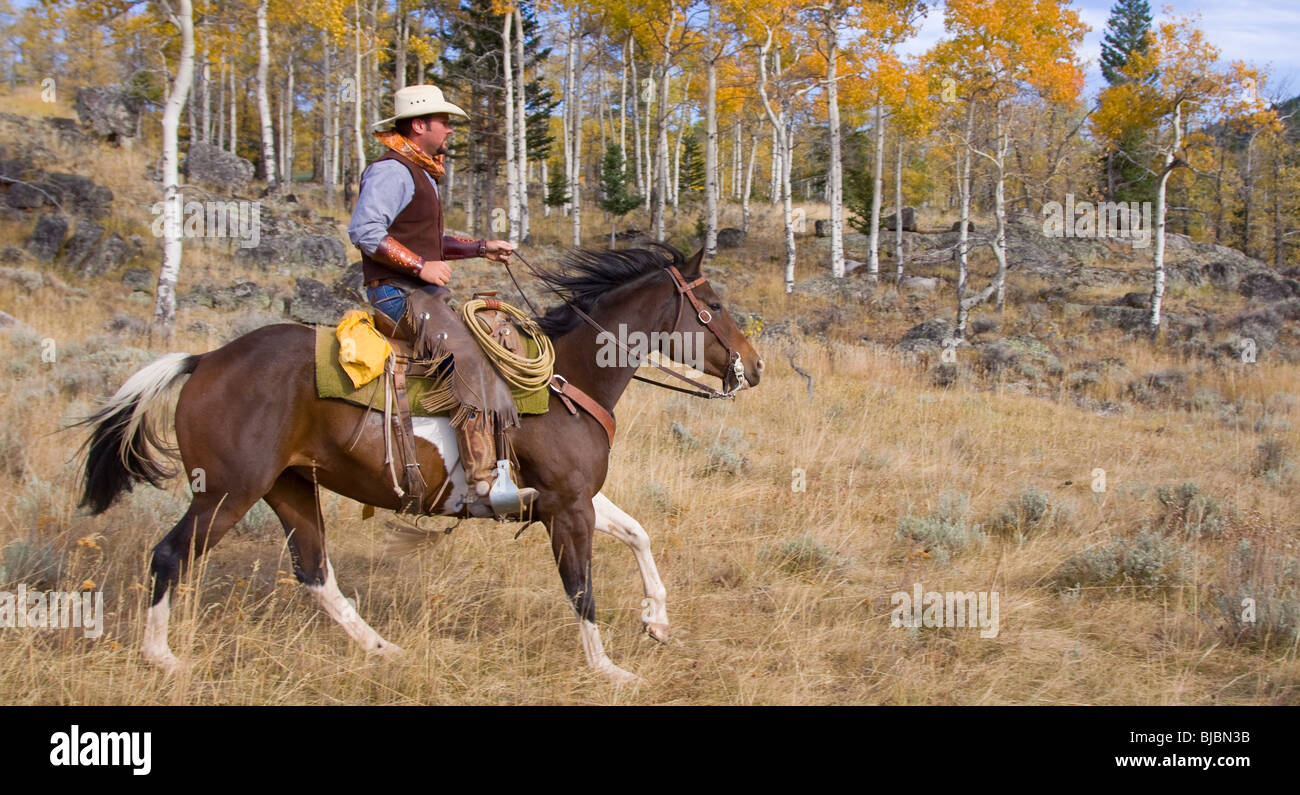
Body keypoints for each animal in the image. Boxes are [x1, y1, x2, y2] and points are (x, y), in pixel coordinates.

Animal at [75, 243, 763, 684]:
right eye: (714, 304)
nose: (752, 367)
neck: (568, 379)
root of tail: (205, 360)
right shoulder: (566, 510)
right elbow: (582, 588)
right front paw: (607, 667)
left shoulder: (572, 499)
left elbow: (638, 534)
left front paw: (657, 621)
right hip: (225, 491)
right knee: (170, 555)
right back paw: (162, 659)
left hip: (289, 488)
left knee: (315, 572)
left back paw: (382, 649)